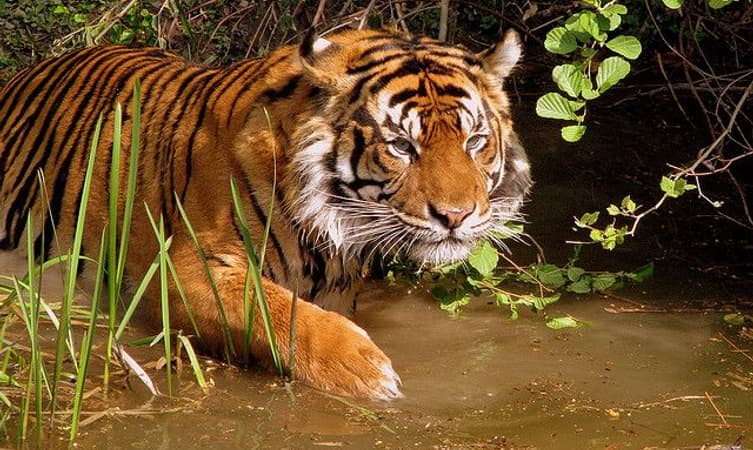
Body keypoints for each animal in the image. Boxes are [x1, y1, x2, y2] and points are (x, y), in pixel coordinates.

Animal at [0, 27, 530, 399]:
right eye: (401, 145)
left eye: (474, 141)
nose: (456, 216)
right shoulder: (178, 270)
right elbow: (278, 309)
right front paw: (368, 373)